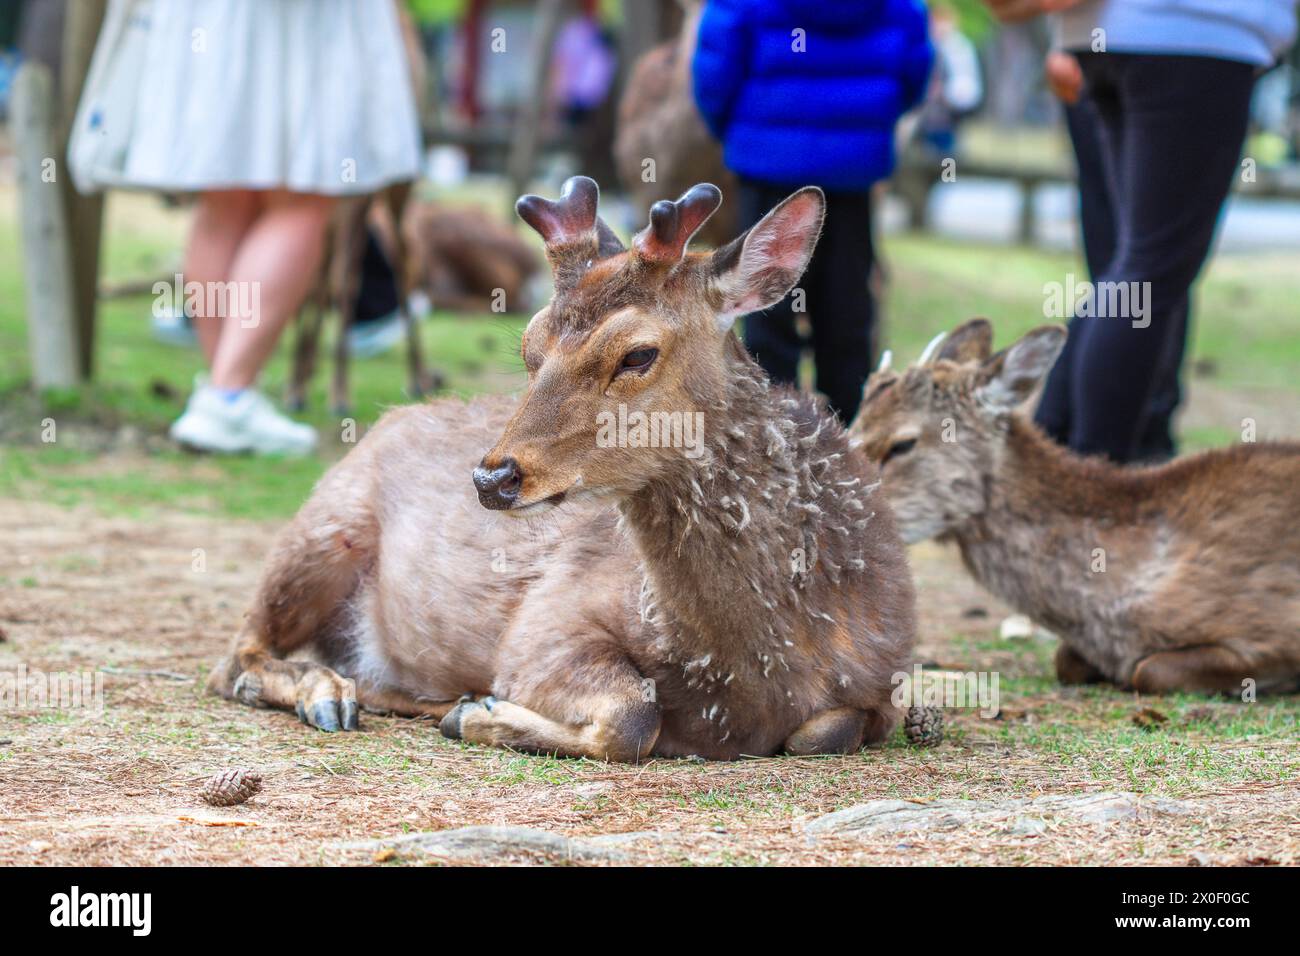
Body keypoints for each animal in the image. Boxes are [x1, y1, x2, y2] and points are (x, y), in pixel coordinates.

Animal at [206, 176, 918, 761]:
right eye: (529, 346)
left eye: (637, 353)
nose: (493, 478)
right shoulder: (545, 624)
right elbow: (633, 716)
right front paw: (479, 713)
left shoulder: (886, 675)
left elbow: (830, 729)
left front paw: (470, 710)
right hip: (323, 527)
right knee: (235, 657)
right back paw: (334, 694)